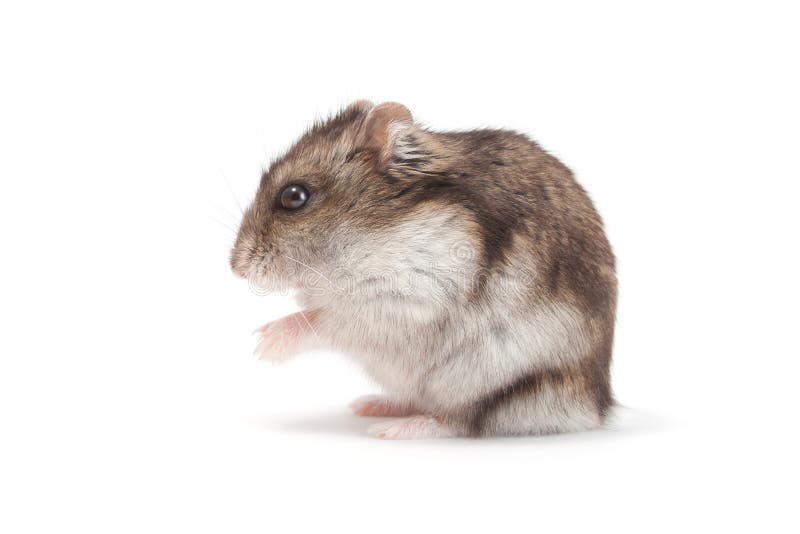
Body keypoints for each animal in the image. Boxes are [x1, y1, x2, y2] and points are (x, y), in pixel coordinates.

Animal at [231, 101, 617, 439]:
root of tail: (596, 407)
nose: (236, 270)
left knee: (461, 421)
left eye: (294, 197)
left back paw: (392, 430)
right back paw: (371, 405)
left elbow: (324, 319)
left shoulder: (404, 295)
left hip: (487, 379)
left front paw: (263, 344)